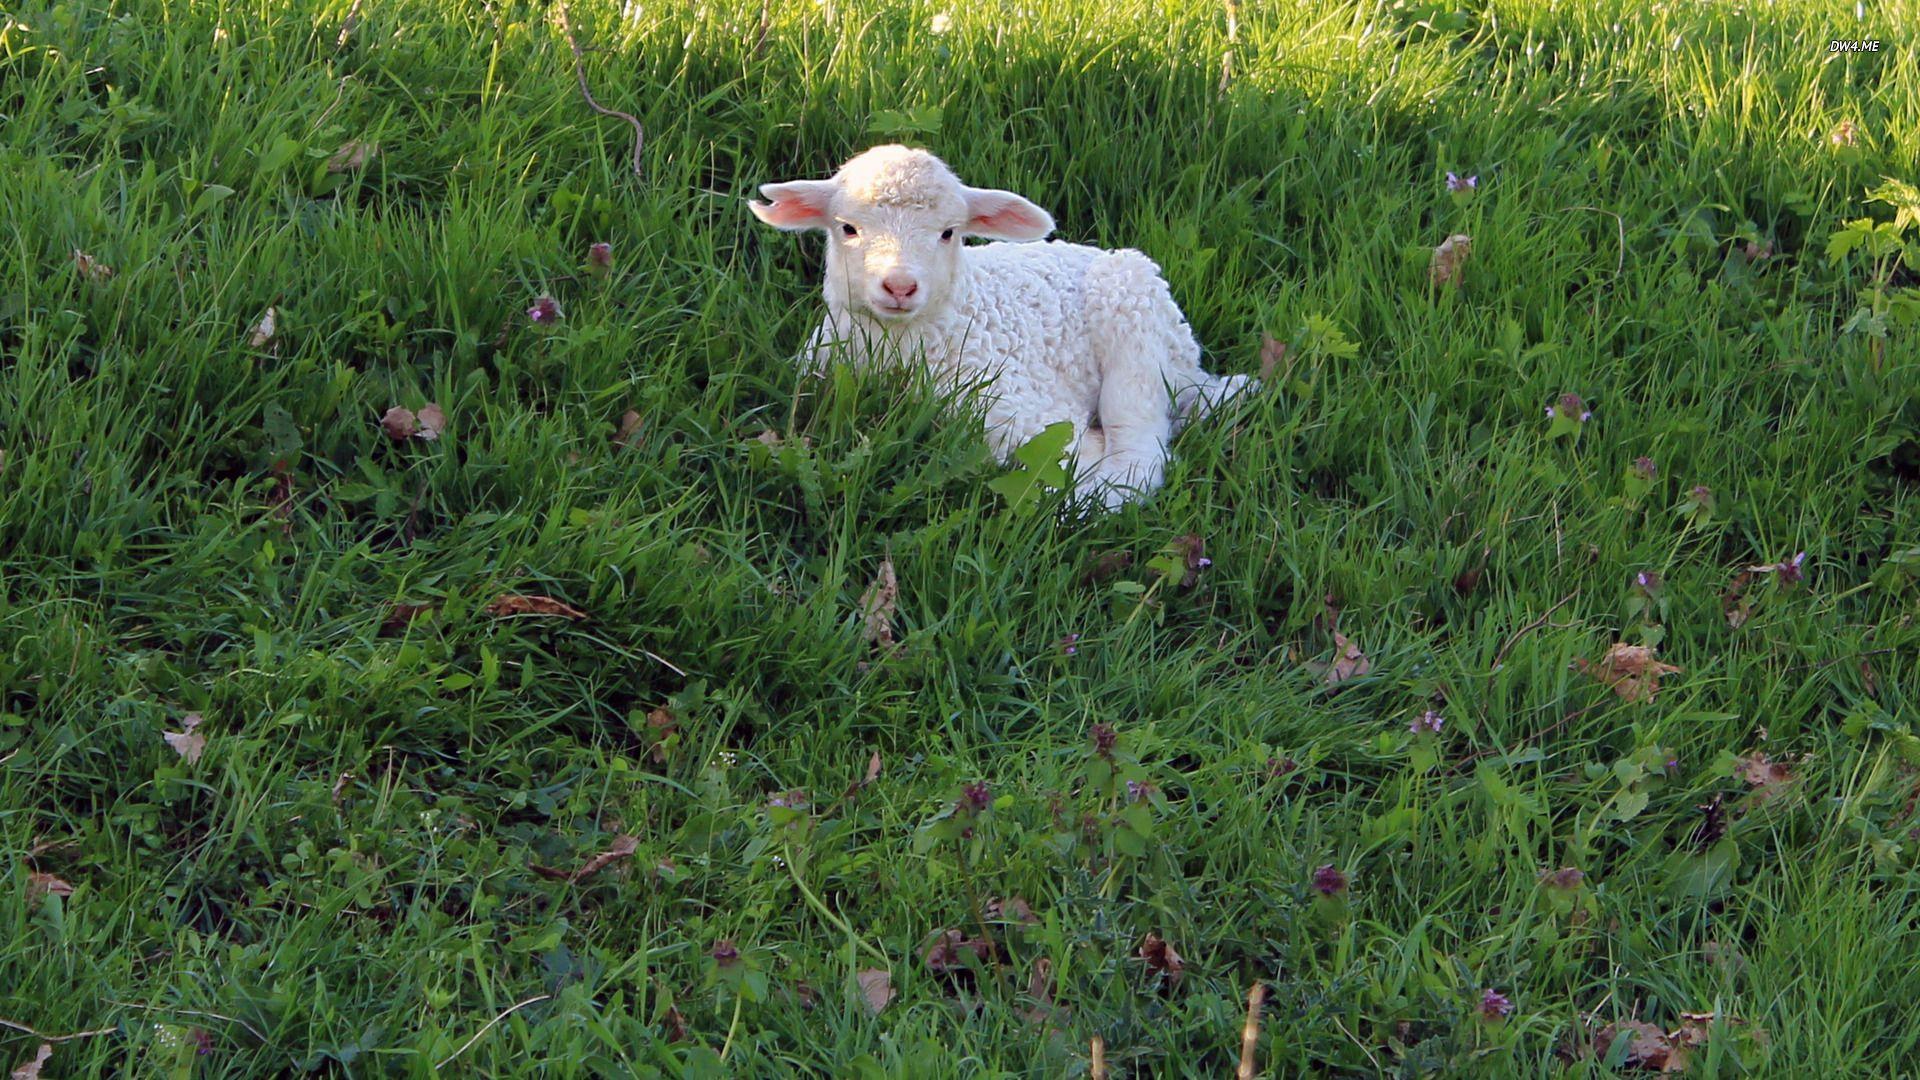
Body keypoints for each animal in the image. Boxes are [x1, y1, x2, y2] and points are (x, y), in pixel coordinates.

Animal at [748, 145, 1254, 510]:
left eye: (949, 232)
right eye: (848, 228)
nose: (900, 286)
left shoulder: (1025, 411)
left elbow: (1064, 471)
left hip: (1133, 317)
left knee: (1140, 449)